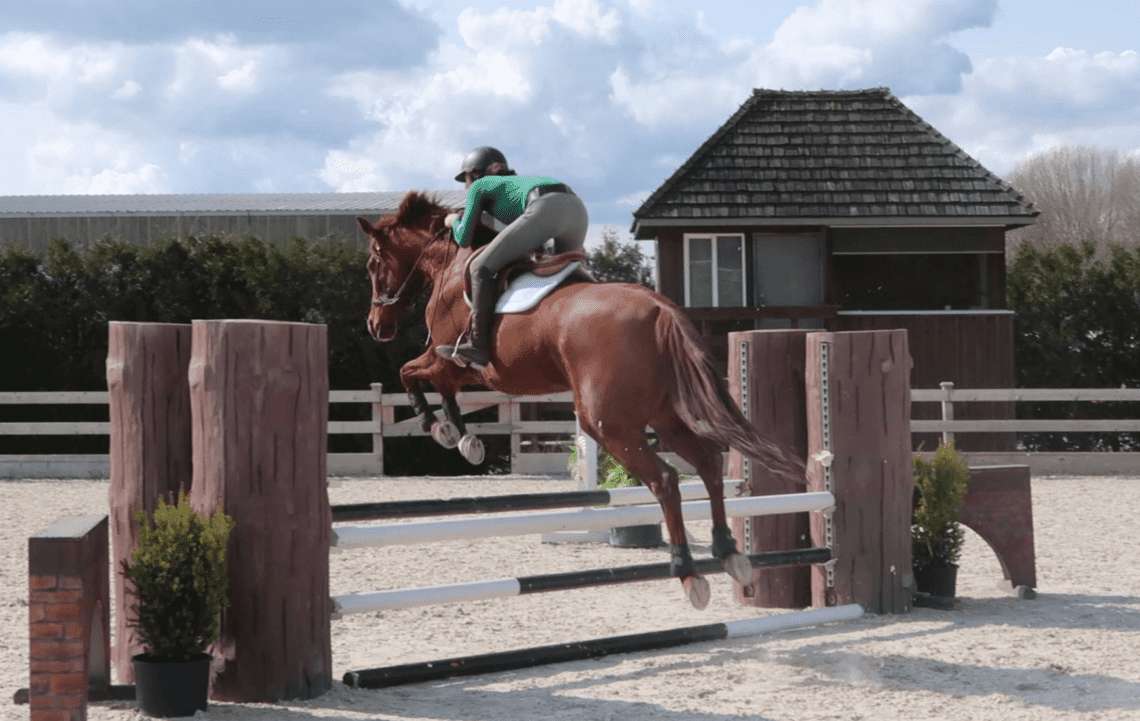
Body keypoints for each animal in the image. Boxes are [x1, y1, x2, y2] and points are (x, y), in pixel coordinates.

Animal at [358, 191, 805, 609]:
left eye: (373, 264)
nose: (376, 326)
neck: (451, 265)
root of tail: (659, 307)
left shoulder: (450, 359)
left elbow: (410, 374)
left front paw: (443, 429)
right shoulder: (459, 369)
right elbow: (432, 383)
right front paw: (462, 436)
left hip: (608, 423)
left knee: (665, 479)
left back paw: (688, 571)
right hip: (665, 417)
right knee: (709, 464)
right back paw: (729, 553)